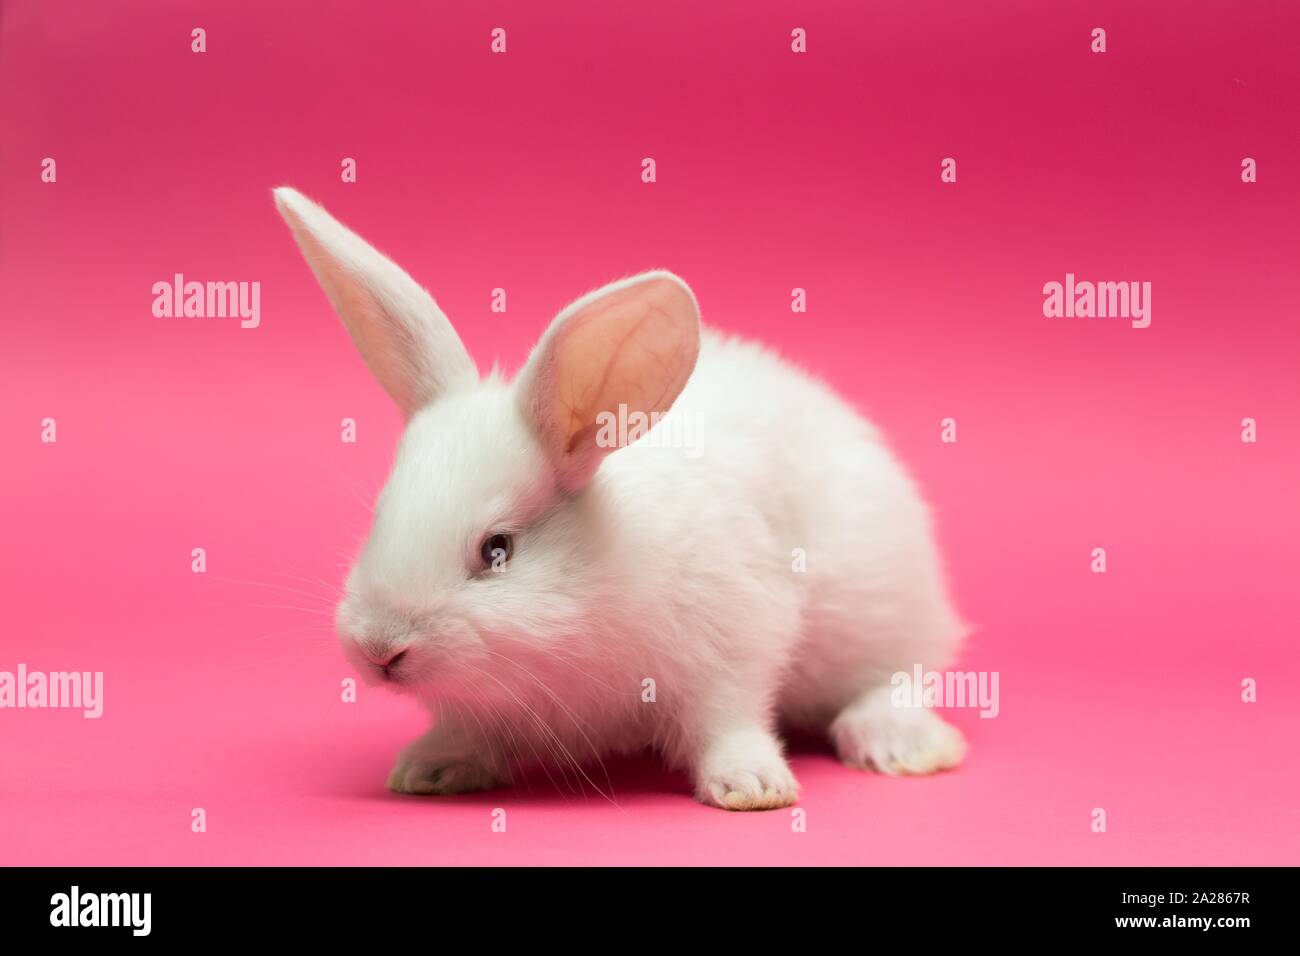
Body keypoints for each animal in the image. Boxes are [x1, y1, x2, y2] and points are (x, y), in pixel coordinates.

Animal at [274, 186, 967, 811]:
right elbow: (467, 731)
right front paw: (430, 768)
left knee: (894, 680)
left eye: (497, 550)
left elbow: (729, 718)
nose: (379, 648)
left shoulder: (732, 642)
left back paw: (904, 745)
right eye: (378, 518)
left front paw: (751, 786)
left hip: (881, 615)